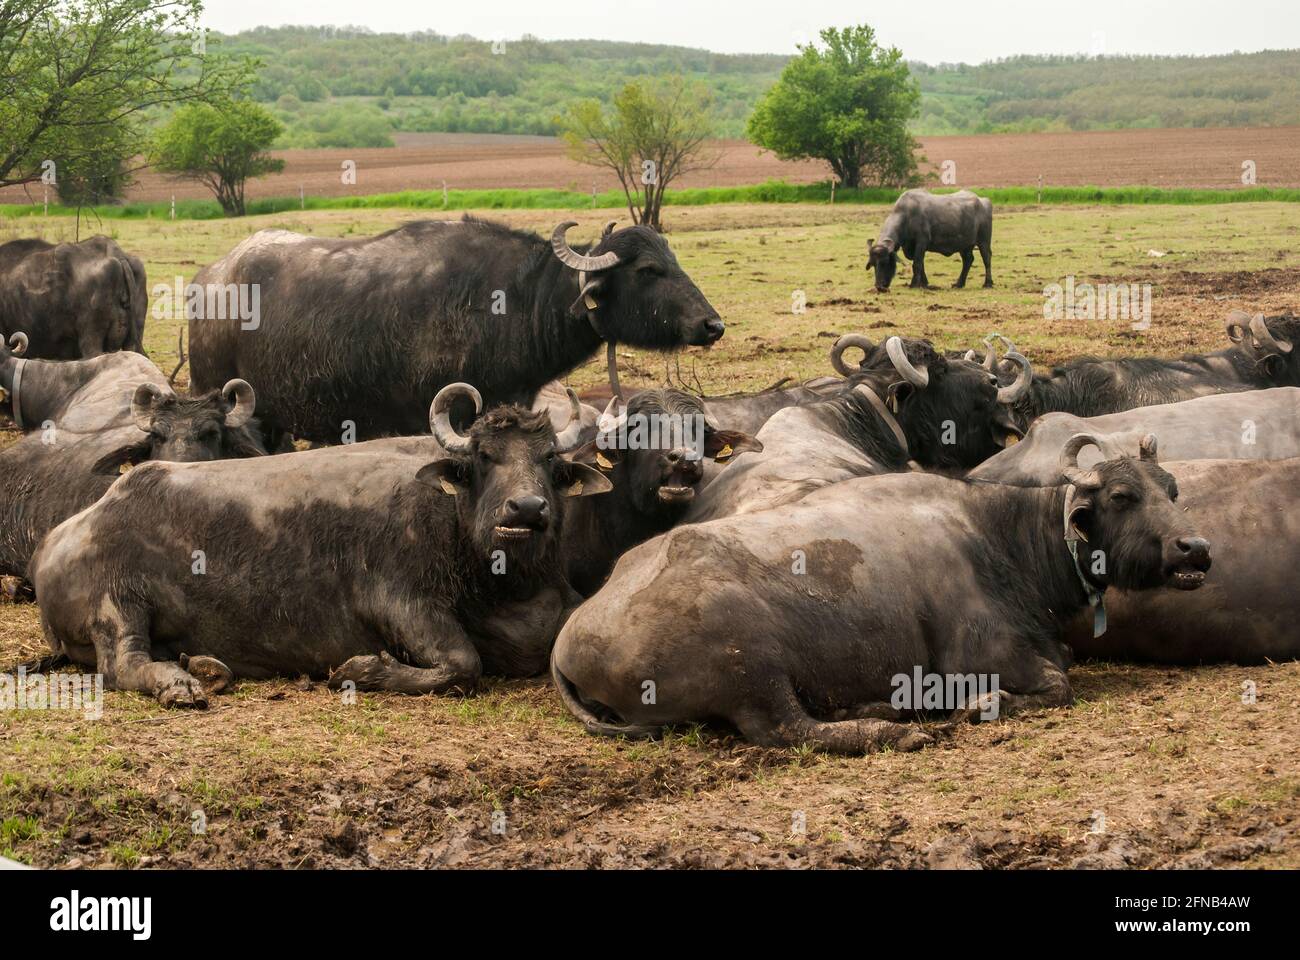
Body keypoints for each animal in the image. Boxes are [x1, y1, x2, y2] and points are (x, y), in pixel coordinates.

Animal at [552, 434, 1211, 752]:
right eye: (1122, 497)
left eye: (1172, 488)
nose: (1196, 549)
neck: (998, 537)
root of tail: (569, 638)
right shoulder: (981, 657)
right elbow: (1057, 687)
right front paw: (975, 706)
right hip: (748, 666)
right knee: (786, 730)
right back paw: (895, 728)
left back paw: (882, 708)